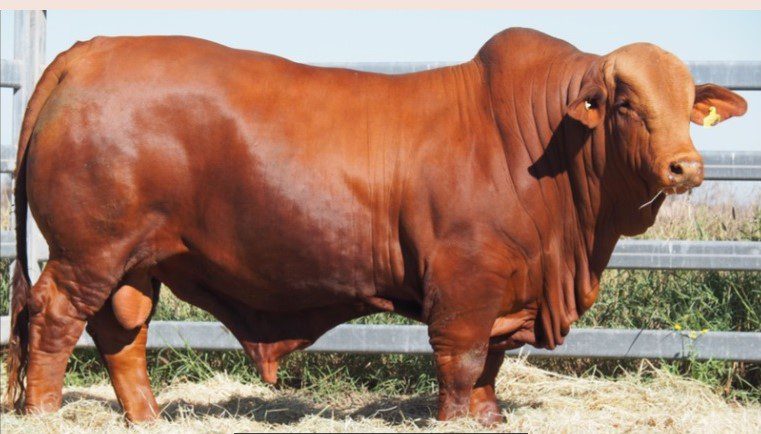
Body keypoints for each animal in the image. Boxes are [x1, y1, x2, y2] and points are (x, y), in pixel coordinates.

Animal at [5, 28, 746, 425]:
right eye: (625, 103)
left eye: (689, 102)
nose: (685, 166)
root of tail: (88, 51)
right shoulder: (464, 284)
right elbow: (462, 362)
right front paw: (455, 420)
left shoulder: (506, 288)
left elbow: (491, 367)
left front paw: (489, 419)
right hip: (87, 253)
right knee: (53, 322)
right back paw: (45, 415)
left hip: (135, 262)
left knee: (121, 334)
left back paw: (149, 419)